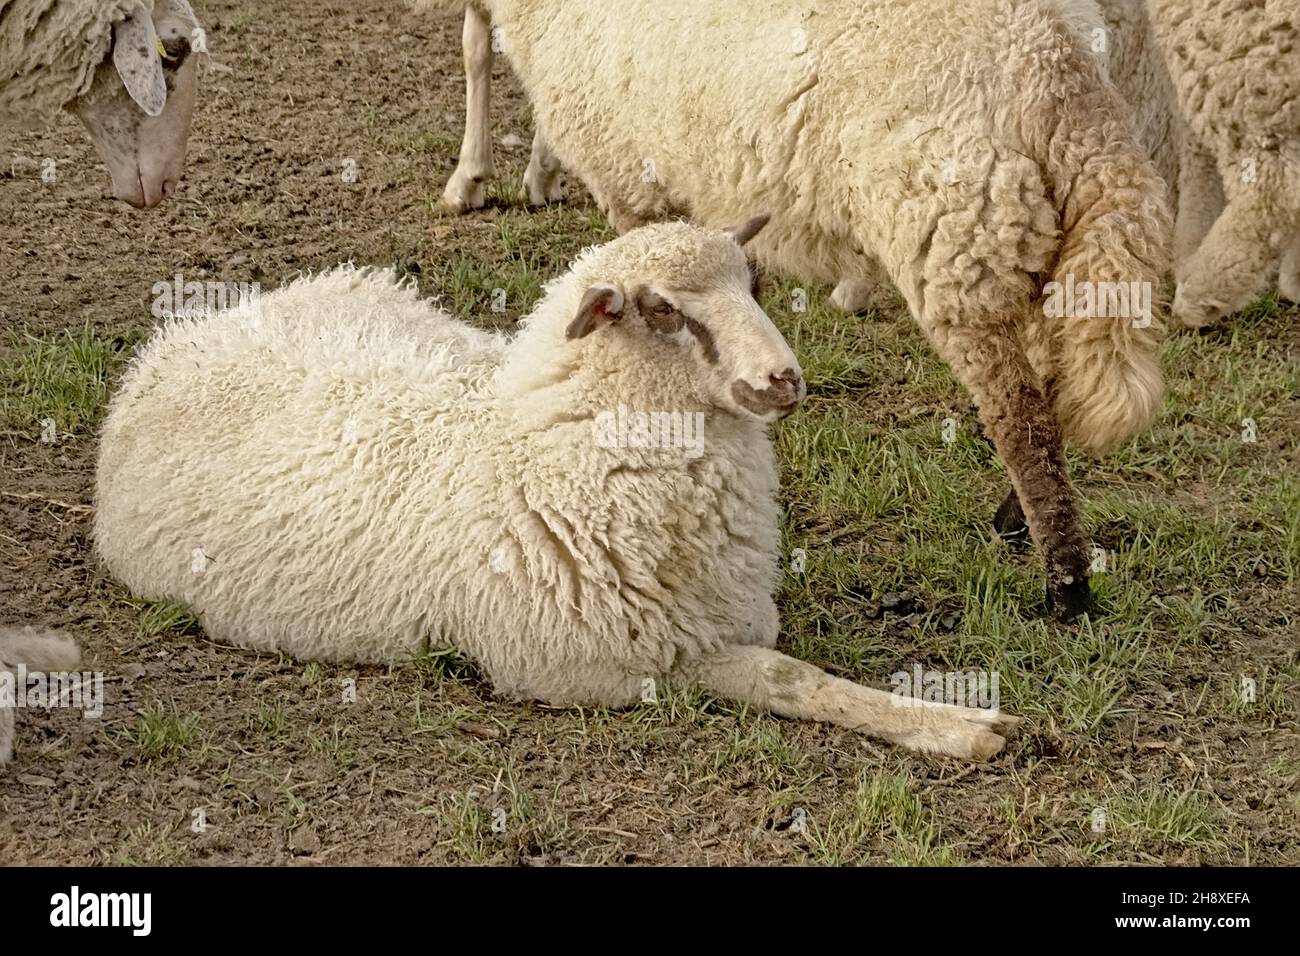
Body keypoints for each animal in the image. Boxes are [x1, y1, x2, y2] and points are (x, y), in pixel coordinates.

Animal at [93, 219, 1019, 760]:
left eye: (752, 284)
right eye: (661, 309)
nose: (782, 380)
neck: (535, 451)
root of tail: (191, 331)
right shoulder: (613, 670)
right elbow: (794, 678)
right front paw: (957, 728)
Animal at [433, 0, 1171, 619]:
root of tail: (1060, 78)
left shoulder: (633, 182)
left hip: (957, 239)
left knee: (1022, 418)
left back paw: (1066, 586)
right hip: (1041, 249)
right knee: (1052, 388)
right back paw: (1016, 521)